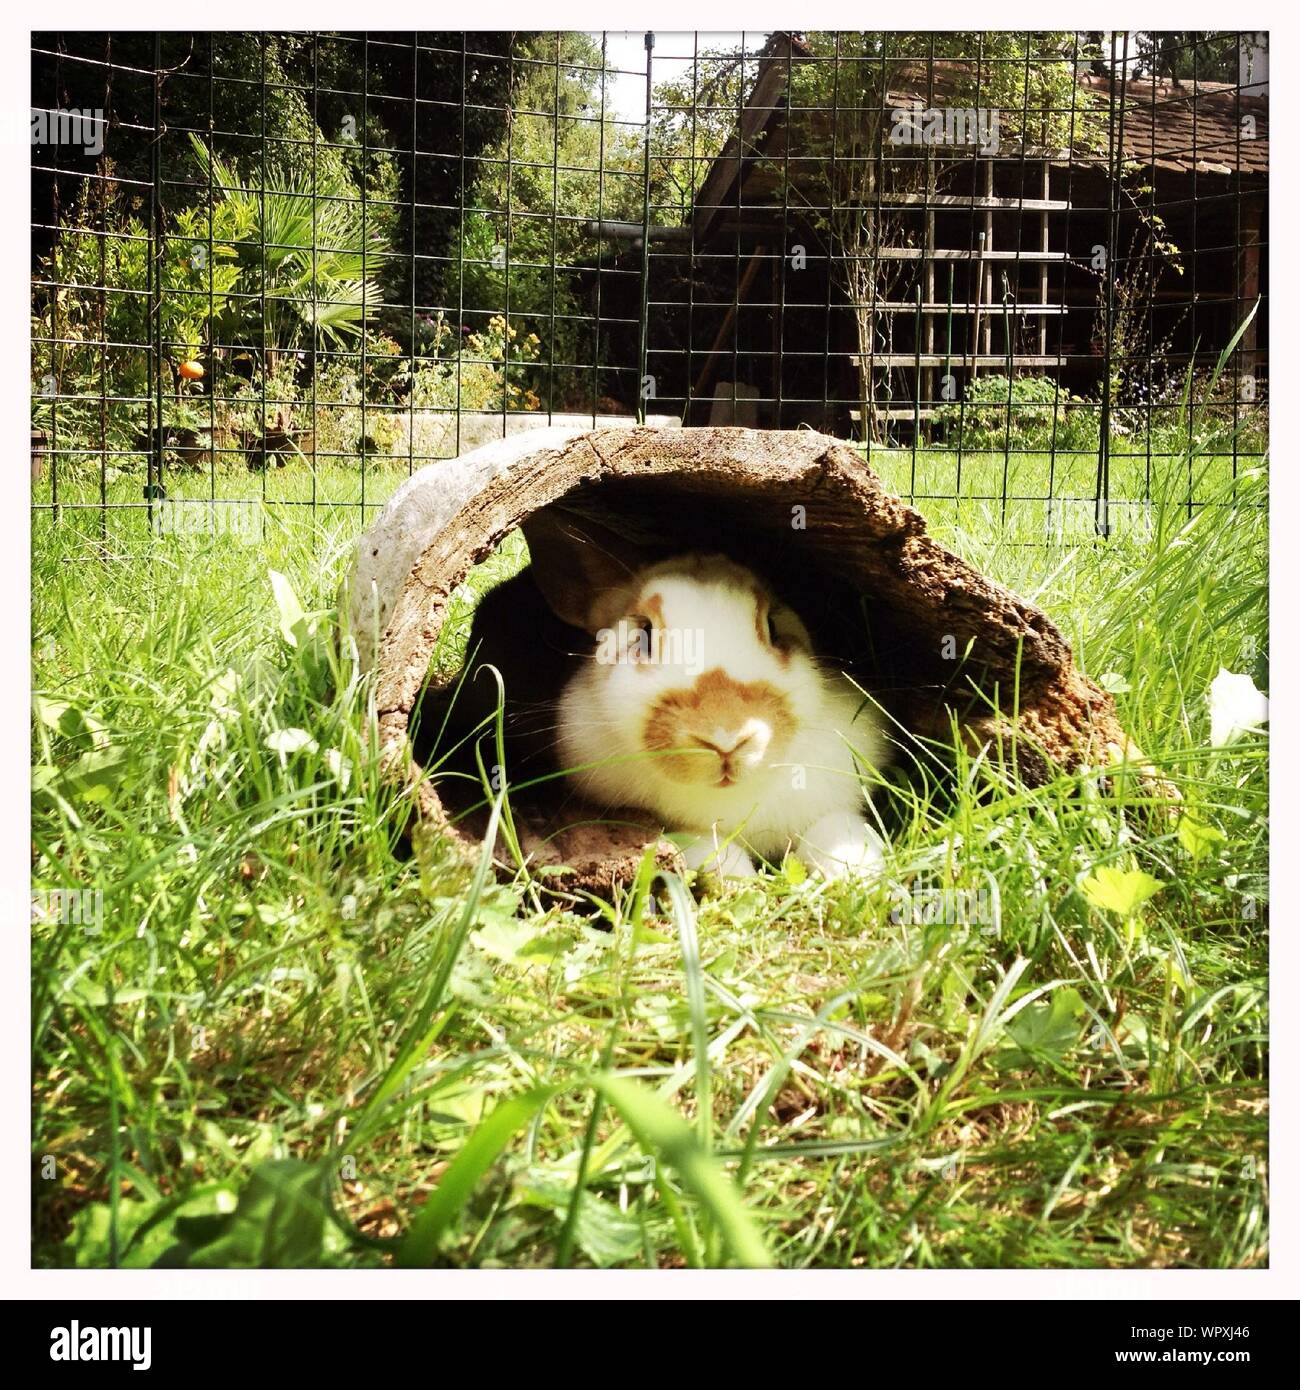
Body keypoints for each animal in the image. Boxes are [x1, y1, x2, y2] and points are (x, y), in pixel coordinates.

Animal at [520, 509, 887, 882]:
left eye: (773, 627)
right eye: (643, 633)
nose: (724, 738)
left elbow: (837, 828)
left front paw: (854, 870)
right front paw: (736, 879)